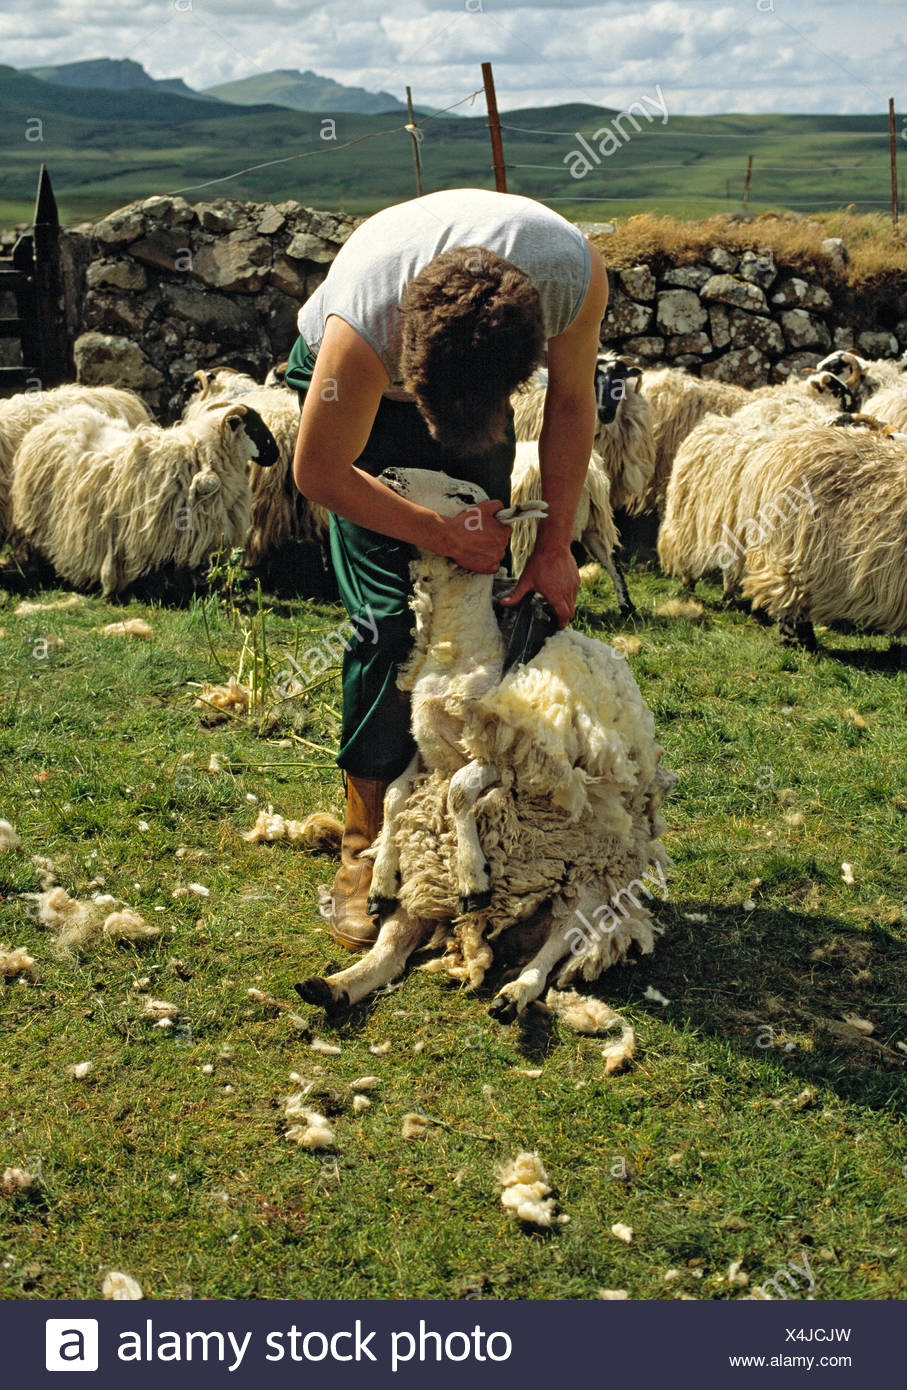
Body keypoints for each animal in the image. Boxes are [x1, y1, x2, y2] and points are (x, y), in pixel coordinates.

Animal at [9, 400, 278, 597]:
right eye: (254, 427)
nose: (275, 454)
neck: (200, 454)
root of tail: (54, 420)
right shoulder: (168, 529)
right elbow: (174, 568)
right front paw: (175, 595)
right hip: (39, 513)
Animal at [295, 467, 675, 1021]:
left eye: (463, 495)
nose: (389, 474)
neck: (456, 647)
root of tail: (507, 933)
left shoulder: (500, 761)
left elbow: (459, 792)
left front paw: (473, 876)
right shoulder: (424, 754)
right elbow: (393, 799)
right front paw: (382, 877)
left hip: (584, 884)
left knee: (554, 949)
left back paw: (513, 994)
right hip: (424, 887)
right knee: (390, 952)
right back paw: (332, 986)